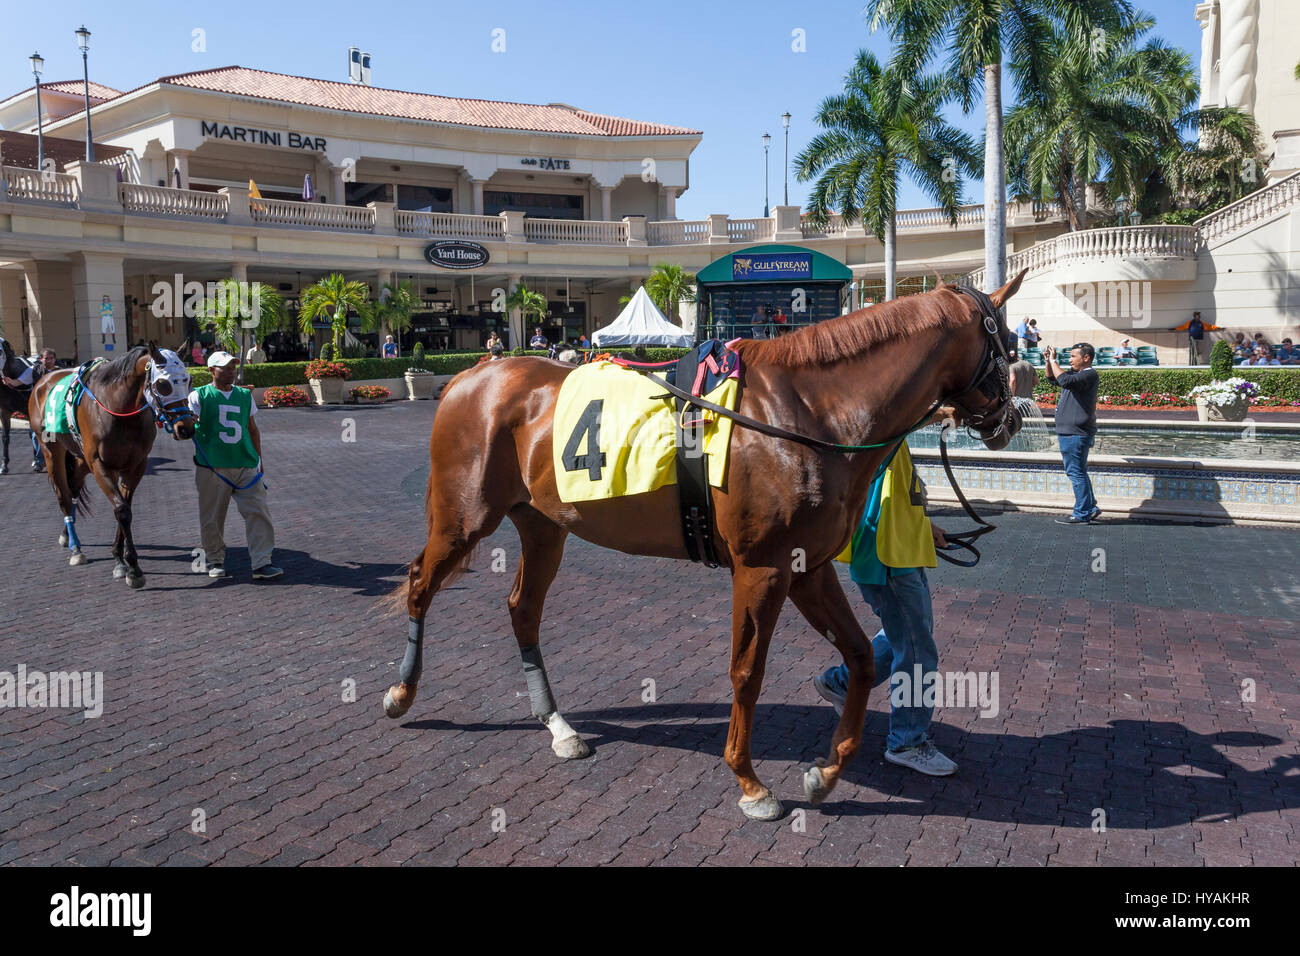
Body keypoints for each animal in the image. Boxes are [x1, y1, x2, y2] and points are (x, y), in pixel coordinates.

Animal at [29, 343, 195, 582]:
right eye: (163, 384)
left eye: (188, 380)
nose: (186, 427)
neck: (118, 408)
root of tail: (44, 380)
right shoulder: (101, 465)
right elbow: (122, 510)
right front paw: (132, 567)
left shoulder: (135, 465)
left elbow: (124, 507)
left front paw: (120, 558)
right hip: (51, 450)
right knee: (64, 495)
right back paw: (75, 548)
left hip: (82, 459)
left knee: (74, 488)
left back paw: (66, 535)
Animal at [382, 273, 1024, 816]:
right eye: (1010, 344)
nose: (1013, 419)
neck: (809, 414)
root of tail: (470, 375)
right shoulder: (761, 568)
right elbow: (747, 671)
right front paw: (750, 782)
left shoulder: (807, 567)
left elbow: (863, 658)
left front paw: (825, 773)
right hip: (464, 519)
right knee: (419, 583)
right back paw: (400, 693)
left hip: (543, 524)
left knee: (522, 608)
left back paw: (559, 727)